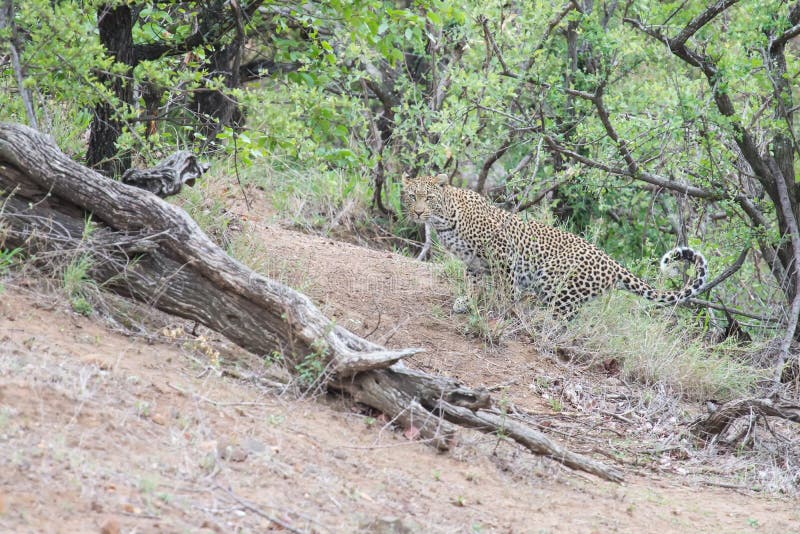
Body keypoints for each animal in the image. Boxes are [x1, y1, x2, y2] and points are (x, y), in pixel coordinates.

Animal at [402, 173, 708, 318]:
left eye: (428, 198)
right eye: (411, 196)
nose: (417, 213)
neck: (445, 220)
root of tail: (612, 262)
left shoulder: (502, 252)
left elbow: (505, 288)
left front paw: (500, 308)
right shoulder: (474, 262)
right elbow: (472, 283)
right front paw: (467, 301)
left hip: (555, 281)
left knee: (562, 317)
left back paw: (536, 319)